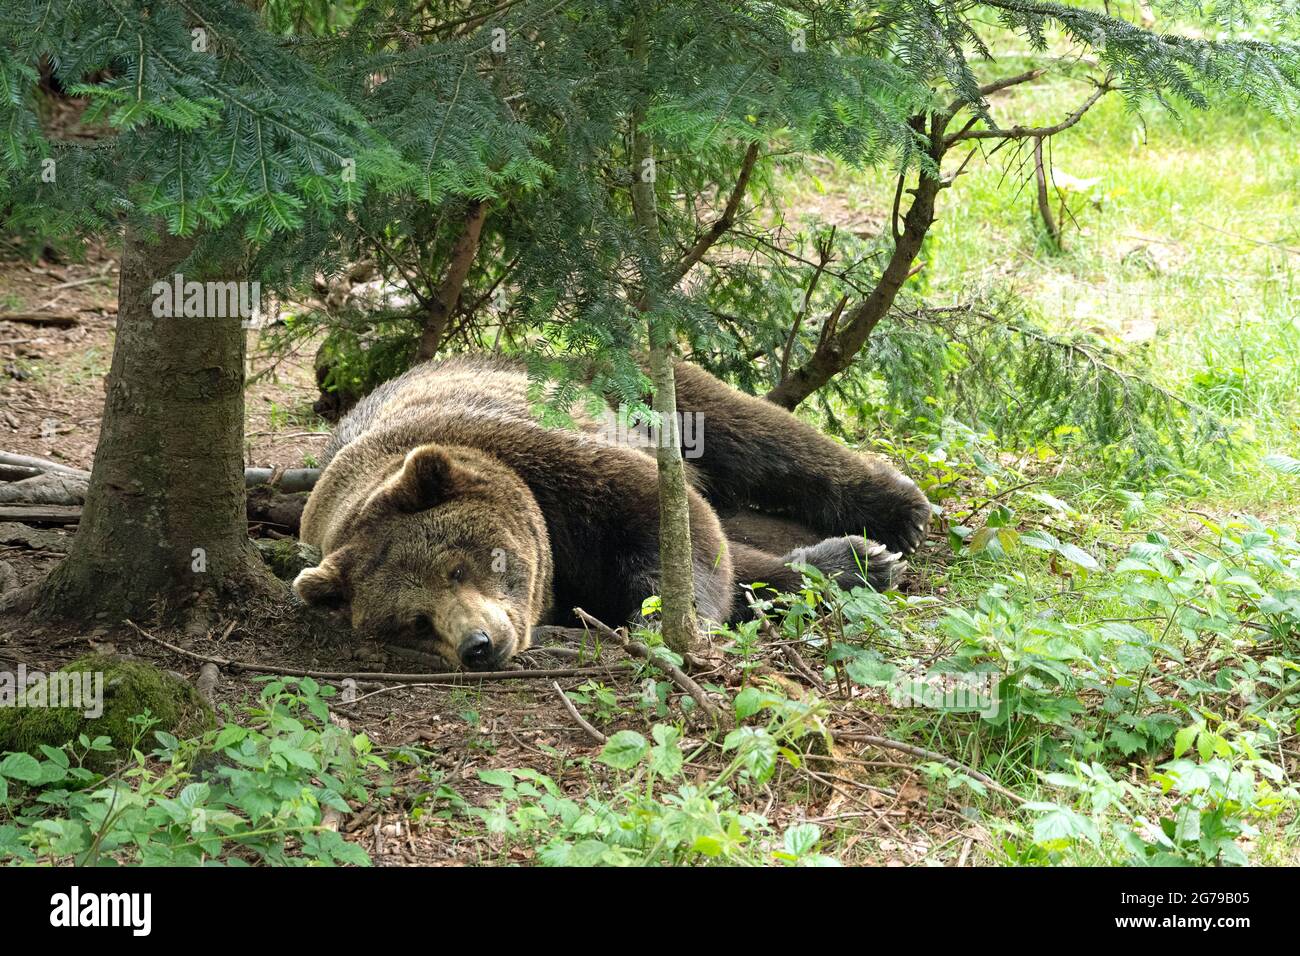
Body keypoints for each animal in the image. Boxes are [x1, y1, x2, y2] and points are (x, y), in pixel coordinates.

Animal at [293, 354, 931, 671]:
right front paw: (851, 563)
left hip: (630, 390)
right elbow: (729, 559)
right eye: (414, 623)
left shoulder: (551, 466)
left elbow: (680, 535)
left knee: (755, 434)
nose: (478, 644)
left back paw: (901, 510)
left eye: (457, 567)